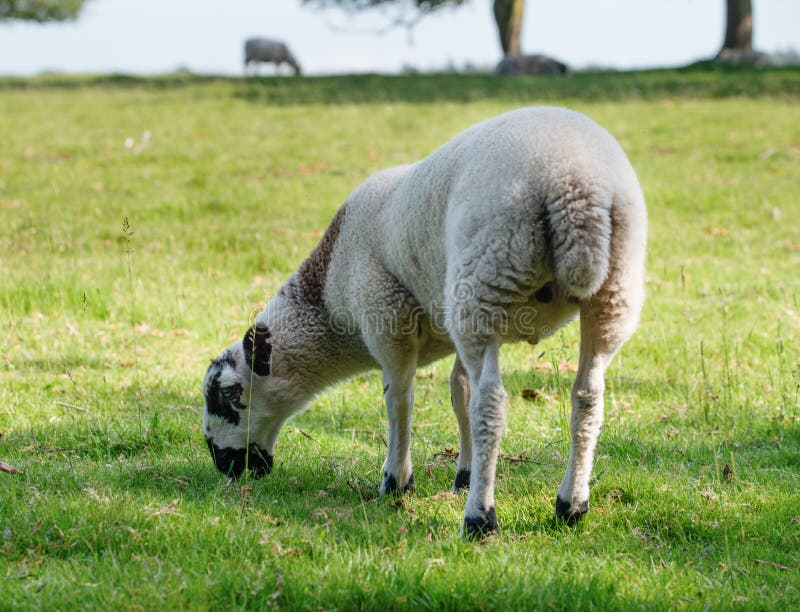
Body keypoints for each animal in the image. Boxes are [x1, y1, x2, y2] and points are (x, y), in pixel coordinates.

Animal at [202, 106, 647, 537]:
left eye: (228, 396)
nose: (224, 467)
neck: (330, 299)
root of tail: (578, 190)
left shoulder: (387, 318)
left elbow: (399, 398)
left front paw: (396, 482)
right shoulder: (451, 331)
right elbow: (458, 390)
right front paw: (463, 474)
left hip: (486, 276)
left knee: (490, 404)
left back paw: (480, 519)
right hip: (609, 291)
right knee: (587, 397)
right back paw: (571, 506)